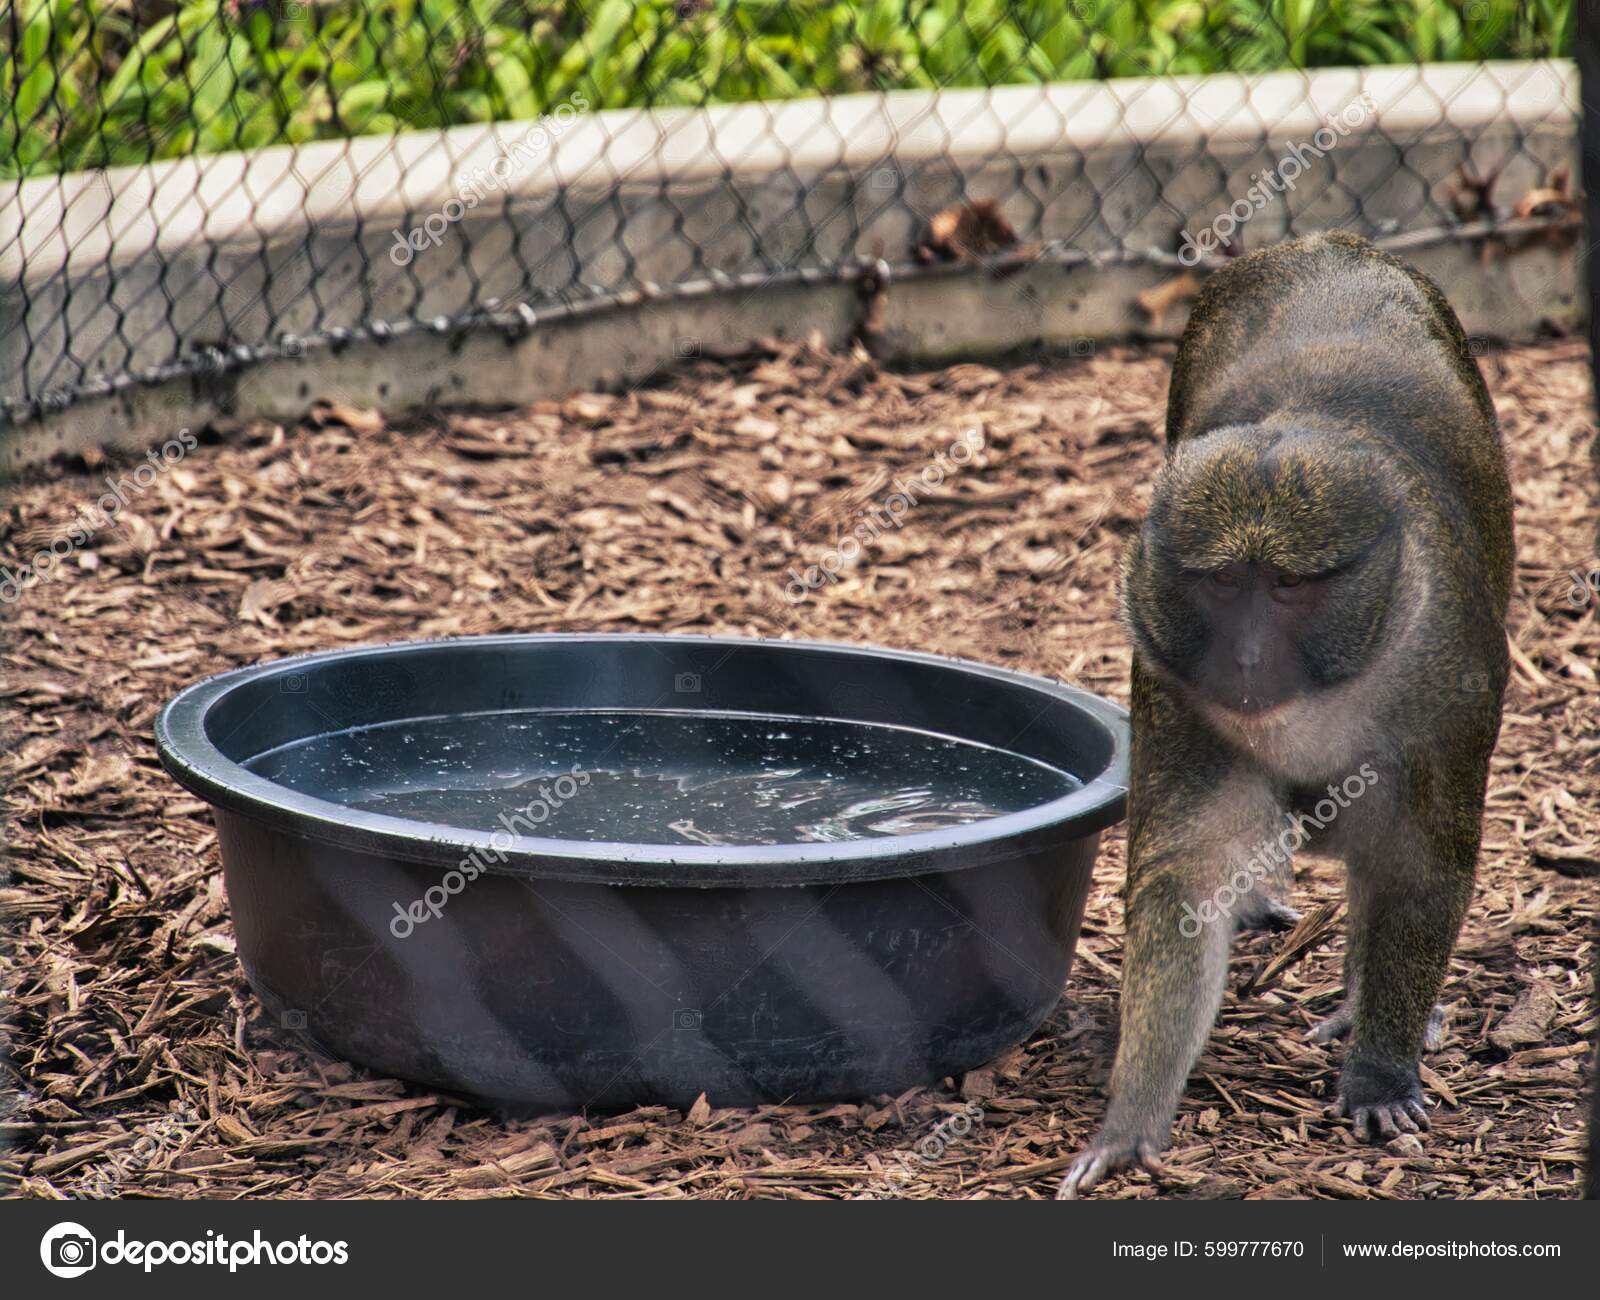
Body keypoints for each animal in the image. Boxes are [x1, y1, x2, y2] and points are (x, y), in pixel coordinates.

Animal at [1058, 231, 1513, 1199]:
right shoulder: (1169, 672)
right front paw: (1130, 1124)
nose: (1245, 659)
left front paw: (1379, 1071)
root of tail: (1324, 243)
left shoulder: (1448, 673)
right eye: (1223, 585)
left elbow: (1421, 862)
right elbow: (1186, 877)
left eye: (1290, 587)